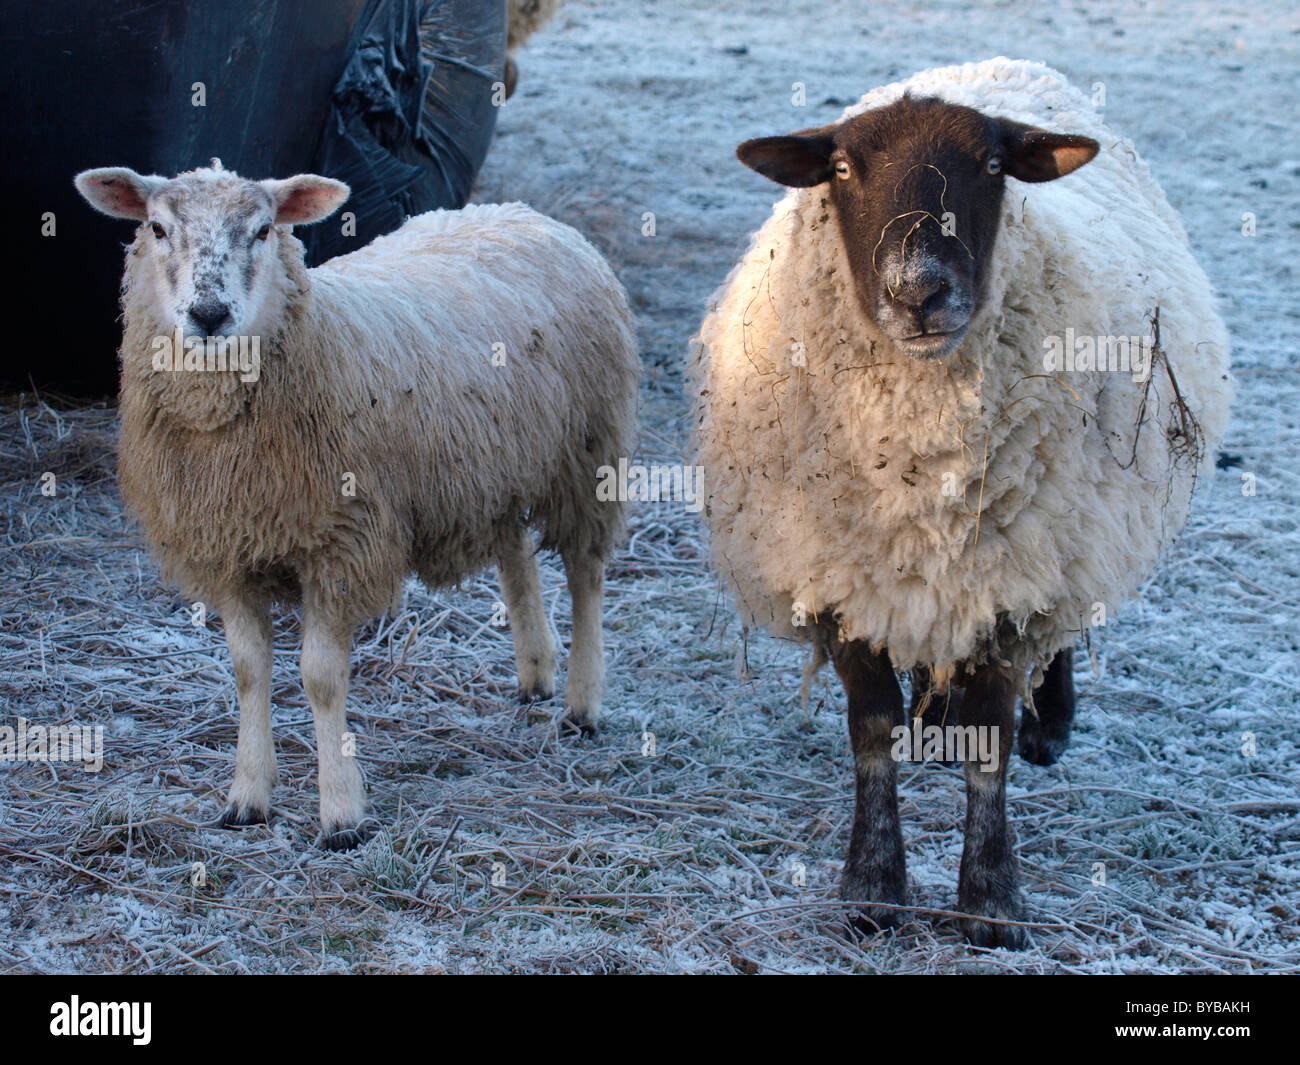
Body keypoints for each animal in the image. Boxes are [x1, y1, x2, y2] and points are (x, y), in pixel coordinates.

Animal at [75, 160, 639, 849]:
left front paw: (341, 813)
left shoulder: (341, 546)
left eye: (264, 230)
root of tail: (522, 211)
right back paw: (534, 671)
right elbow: (247, 670)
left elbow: (320, 678)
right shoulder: (229, 549)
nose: (209, 314)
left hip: (587, 456)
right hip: (493, 465)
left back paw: (582, 704)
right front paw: (247, 798)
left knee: (586, 576)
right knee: (514, 553)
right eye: (156, 228)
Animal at [690, 58, 1232, 946]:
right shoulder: (843, 579)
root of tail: (995, 64)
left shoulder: (1011, 581)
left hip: (1063, 536)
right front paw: (872, 886)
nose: (920, 293)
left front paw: (990, 899)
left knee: (1055, 642)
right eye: (843, 168)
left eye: (991, 165)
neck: (922, 454)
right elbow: (871, 730)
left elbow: (991, 740)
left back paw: (1050, 722)